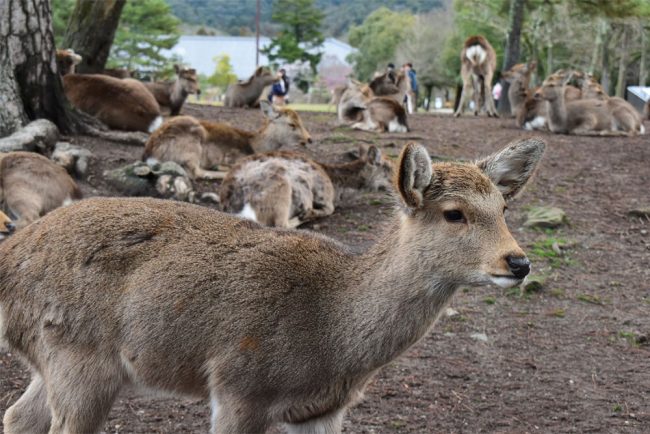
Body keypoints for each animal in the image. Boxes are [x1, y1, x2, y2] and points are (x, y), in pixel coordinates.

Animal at [143, 101, 312, 180]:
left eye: (301, 120)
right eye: (292, 124)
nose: (309, 139)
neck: (255, 146)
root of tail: (150, 154)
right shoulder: (234, 155)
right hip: (192, 145)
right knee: (195, 171)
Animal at [219, 145, 394, 228]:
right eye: (389, 167)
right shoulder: (324, 197)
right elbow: (330, 210)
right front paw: (307, 213)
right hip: (280, 184)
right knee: (280, 224)